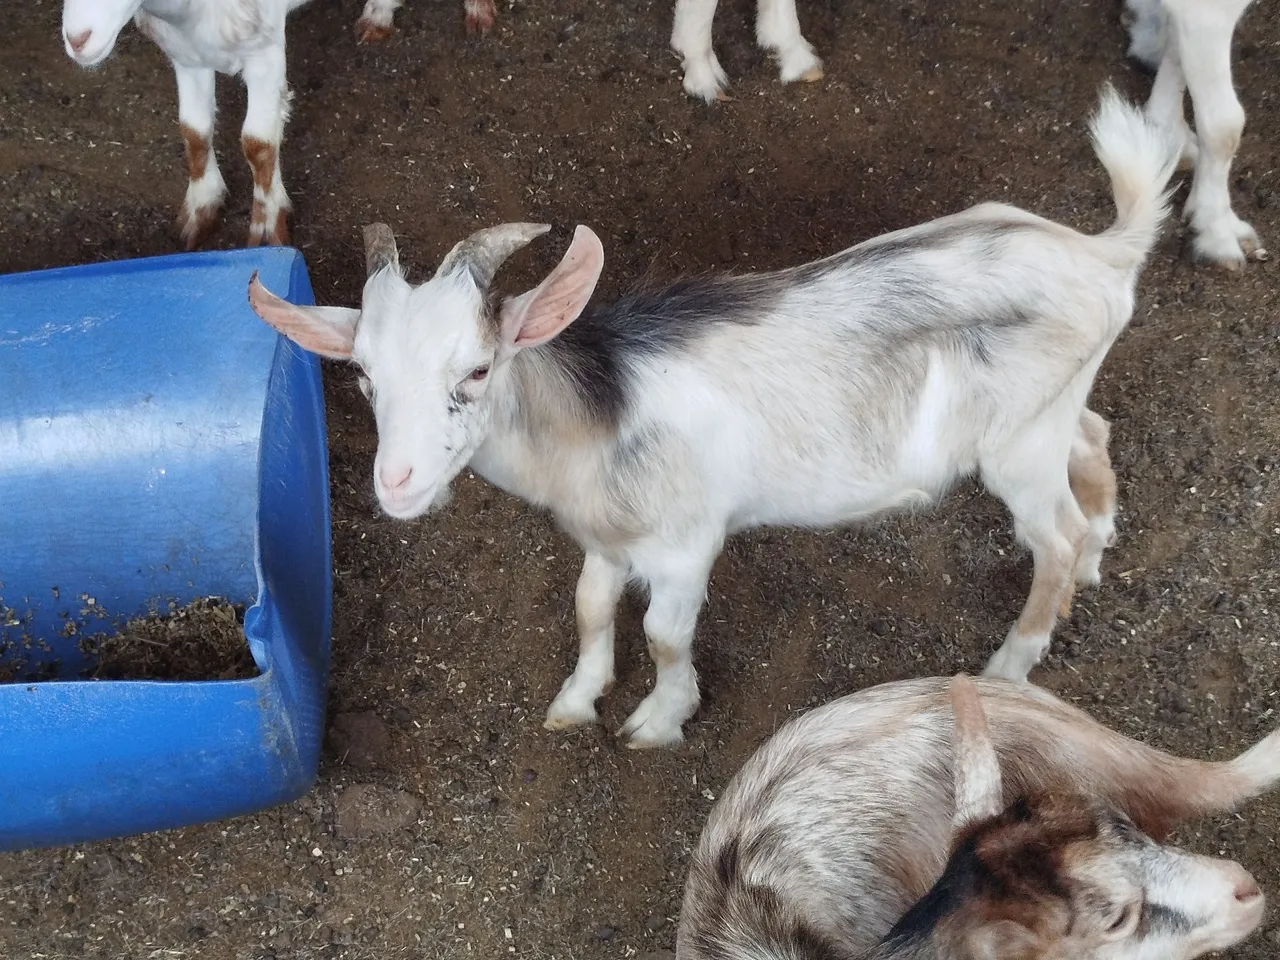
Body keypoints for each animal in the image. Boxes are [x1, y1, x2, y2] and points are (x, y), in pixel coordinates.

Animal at [246, 87, 1178, 748]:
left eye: (476, 370)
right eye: (361, 378)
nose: (397, 484)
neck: (598, 417)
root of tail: (1102, 254)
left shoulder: (685, 544)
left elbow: (663, 633)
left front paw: (659, 720)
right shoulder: (603, 538)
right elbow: (589, 607)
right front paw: (576, 699)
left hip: (1016, 445)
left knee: (1050, 533)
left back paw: (1015, 659)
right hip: (1050, 413)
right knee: (1094, 439)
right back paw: (1099, 554)